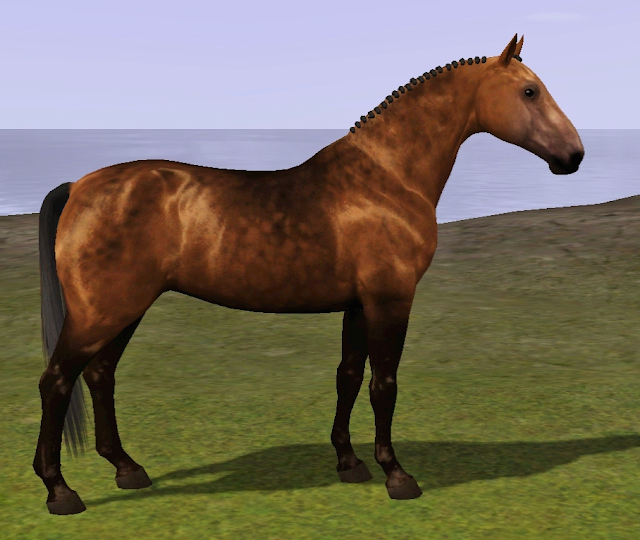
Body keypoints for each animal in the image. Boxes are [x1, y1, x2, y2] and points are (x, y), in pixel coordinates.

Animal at [34, 34, 584, 514]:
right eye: (529, 91)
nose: (574, 156)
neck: (385, 179)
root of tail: (80, 185)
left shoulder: (358, 305)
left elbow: (348, 376)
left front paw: (349, 462)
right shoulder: (390, 301)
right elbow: (384, 384)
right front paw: (397, 475)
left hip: (126, 309)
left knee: (100, 376)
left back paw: (128, 470)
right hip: (101, 312)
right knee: (57, 381)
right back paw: (60, 492)